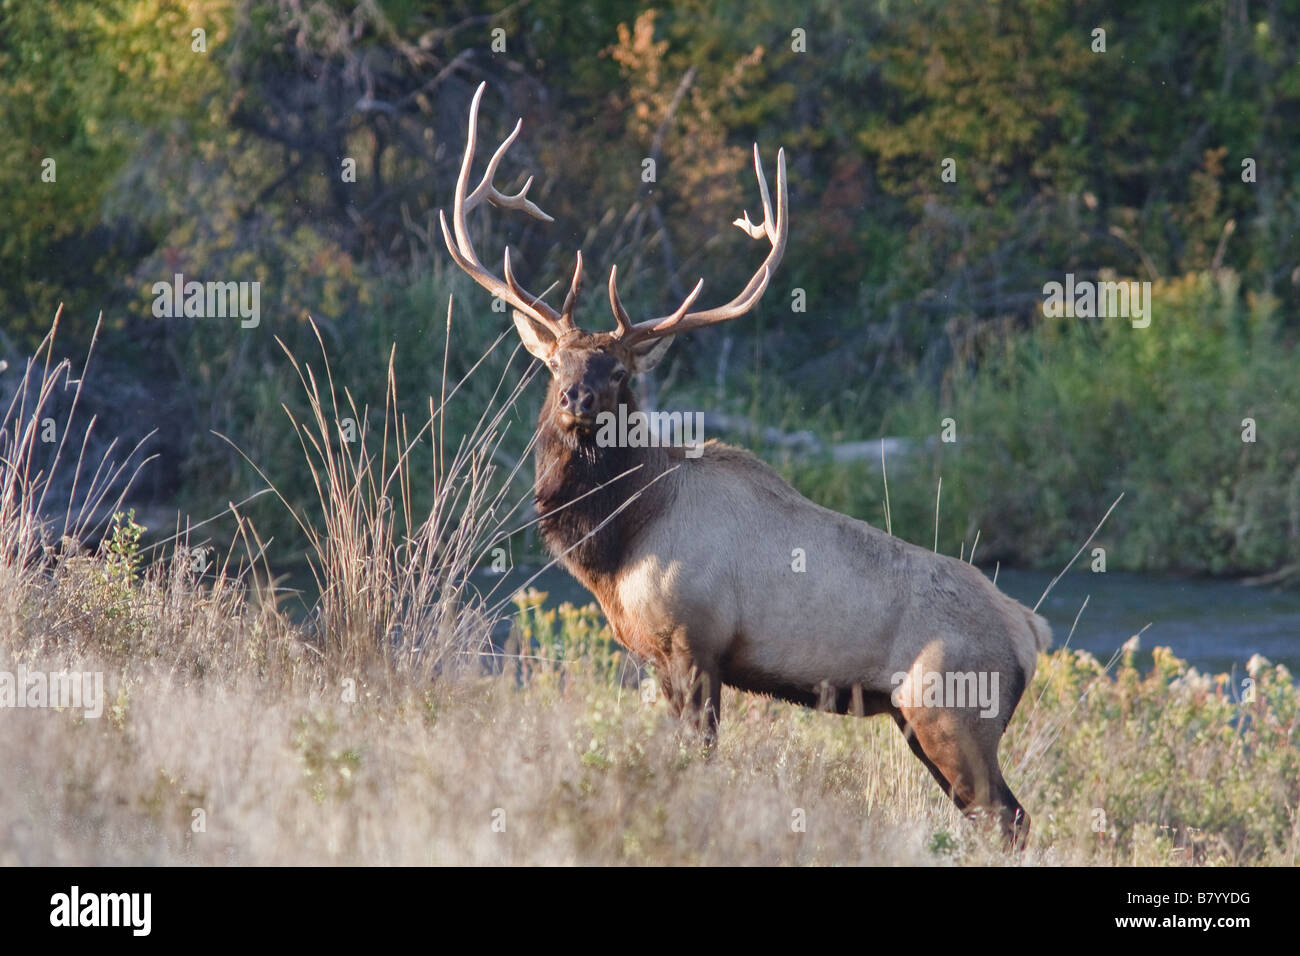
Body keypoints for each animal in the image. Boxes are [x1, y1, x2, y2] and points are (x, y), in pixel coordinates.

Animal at [440, 82, 1051, 848]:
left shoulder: (693, 643)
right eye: (556, 365)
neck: (619, 540)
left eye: (621, 373)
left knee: (1010, 817)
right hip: (924, 724)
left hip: (953, 712)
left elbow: (698, 763)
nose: (579, 398)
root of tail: (1030, 632)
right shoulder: (658, 657)